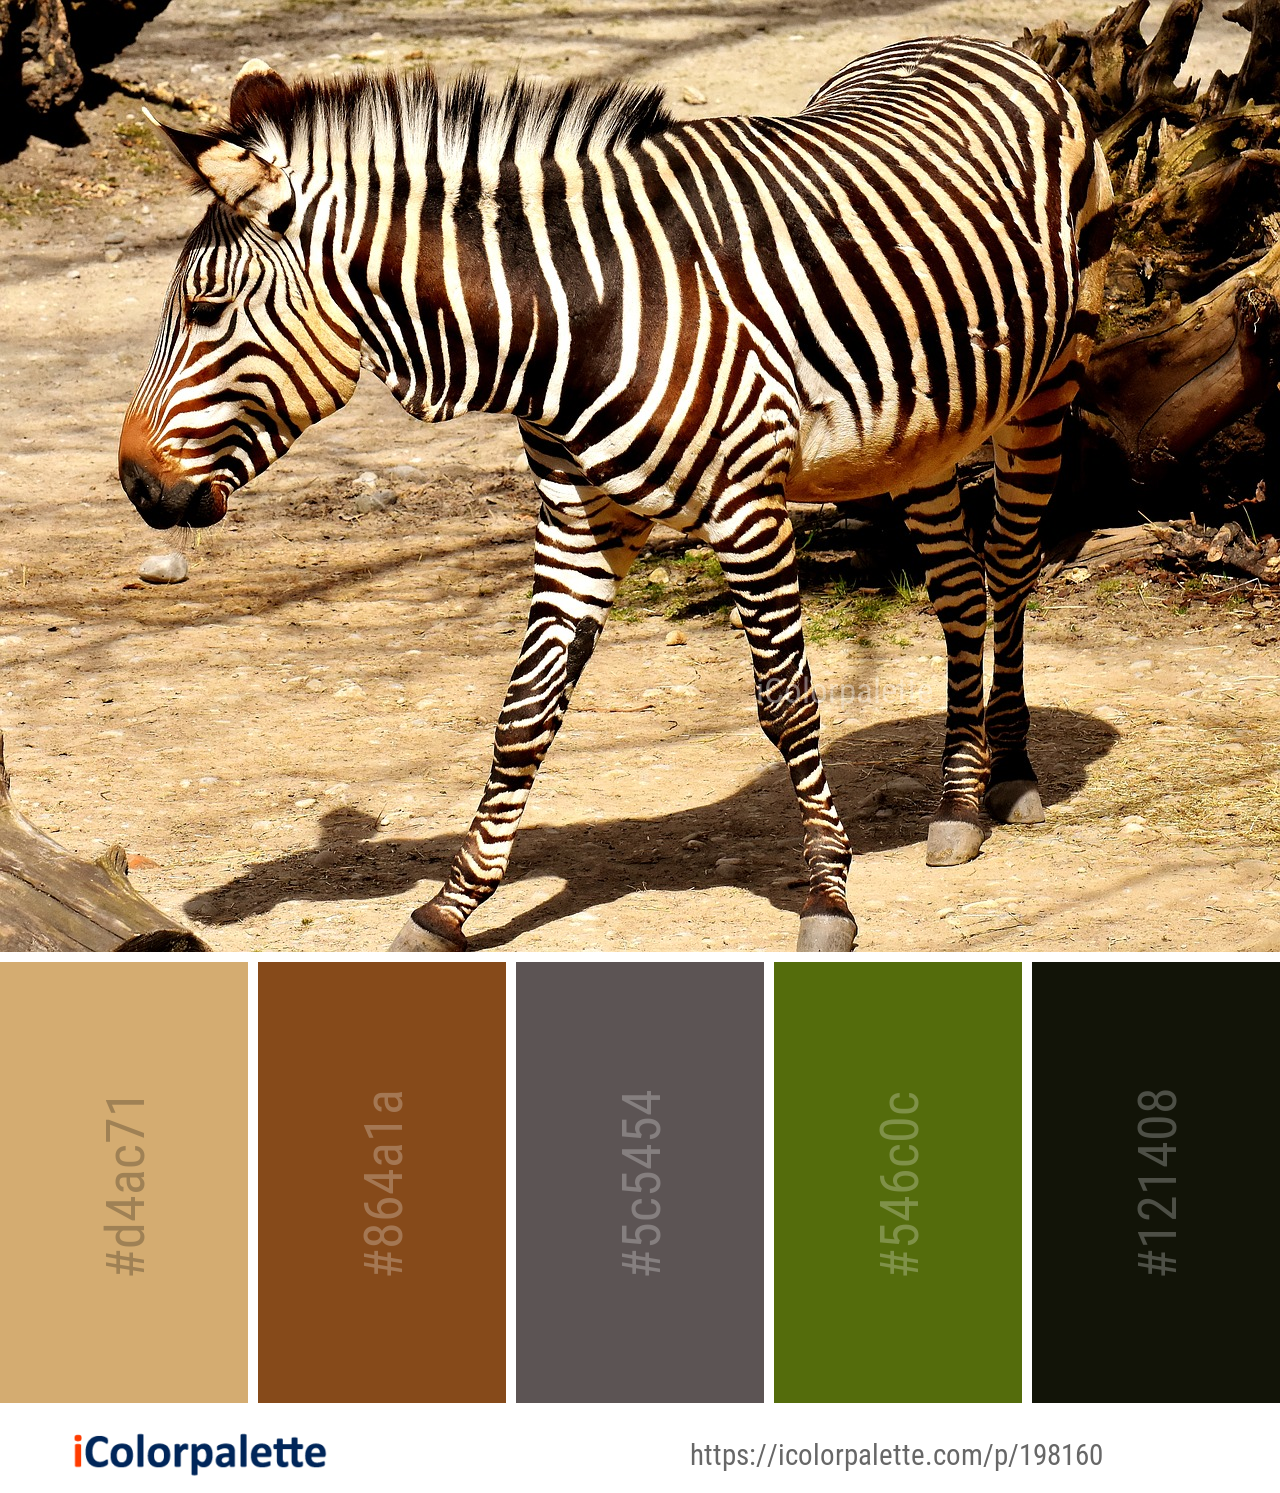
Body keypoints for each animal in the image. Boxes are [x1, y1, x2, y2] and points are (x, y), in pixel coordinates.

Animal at [119, 40, 1113, 954]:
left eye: (207, 307)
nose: (135, 483)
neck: (564, 318)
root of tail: (982, 44)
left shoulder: (747, 508)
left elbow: (787, 702)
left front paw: (829, 893)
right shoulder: (577, 512)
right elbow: (523, 713)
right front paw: (451, 905)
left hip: (1050, 382)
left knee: (1010, 568)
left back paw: (1010, 772)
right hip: (919, 432)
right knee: (957, 590)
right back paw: (958, 799)